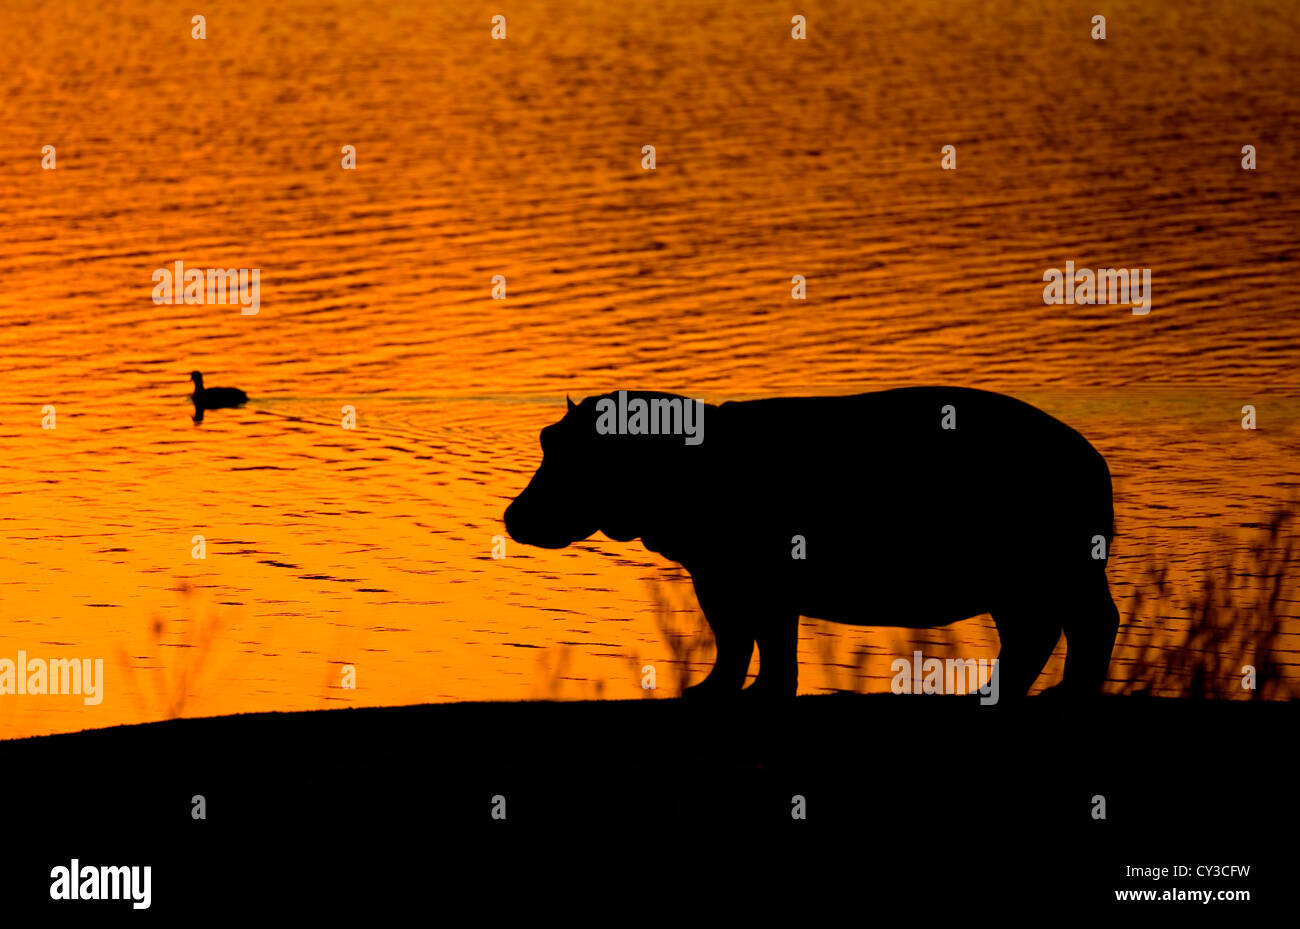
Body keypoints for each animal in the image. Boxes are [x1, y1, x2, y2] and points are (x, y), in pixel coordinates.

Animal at [504, 387, 1120, 699]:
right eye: (546, 437)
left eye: (562, 446)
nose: (510, 516)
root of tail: (1090, 455)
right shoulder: (718, 576)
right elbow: (740, 638)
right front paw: (714, 692)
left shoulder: (749, 577)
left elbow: (758, 637)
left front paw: (741, 695)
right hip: (1030, 582)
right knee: (1047, 633)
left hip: (1049, 575)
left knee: (1079, 627)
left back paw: (1049, 698)